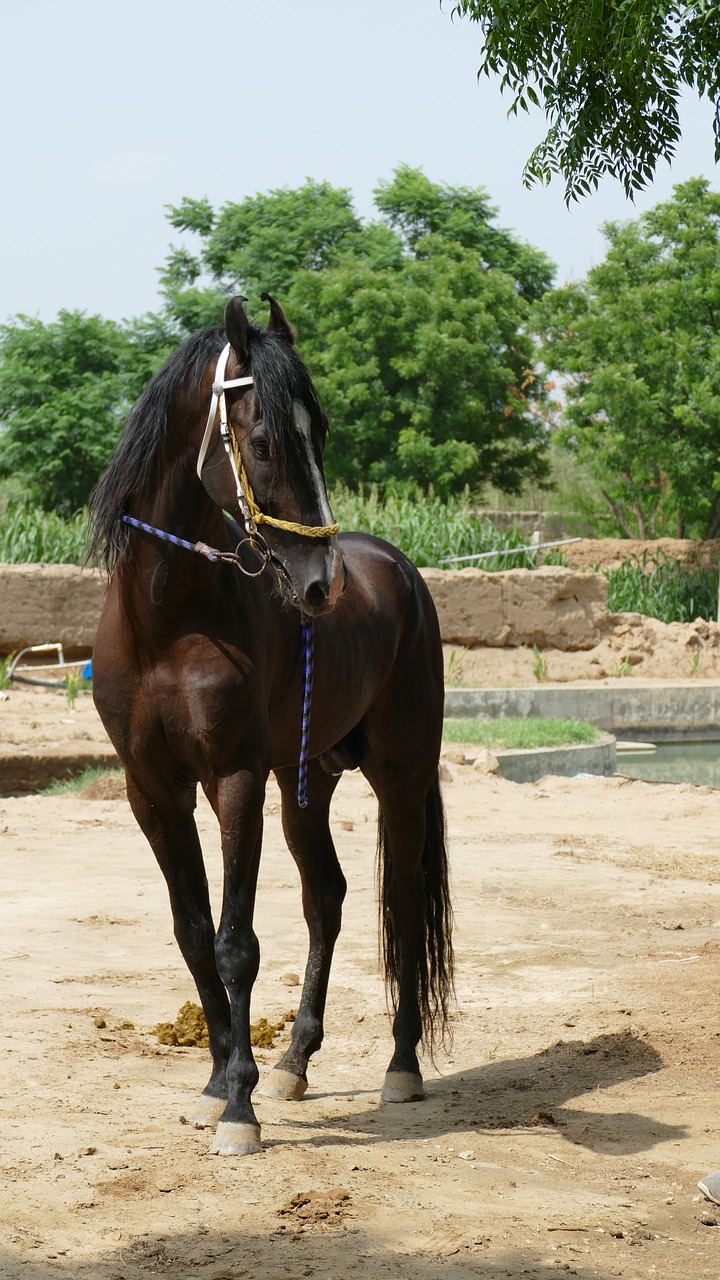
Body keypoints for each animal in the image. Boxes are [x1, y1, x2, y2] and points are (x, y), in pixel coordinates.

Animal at [88, 294, 453, 1156]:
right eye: (261, 442)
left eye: (319, 435)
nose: (323, 585)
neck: (167, 620)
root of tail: (398, 571)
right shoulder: (152, 790)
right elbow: (193, 931)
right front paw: (222, 1079)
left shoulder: (235, 781)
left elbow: (236, 943)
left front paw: (239, 1111)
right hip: (306, 782)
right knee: (328, 897)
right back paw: (294, 1063)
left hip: (400, 777)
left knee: (399, 902)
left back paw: (400, 1068)